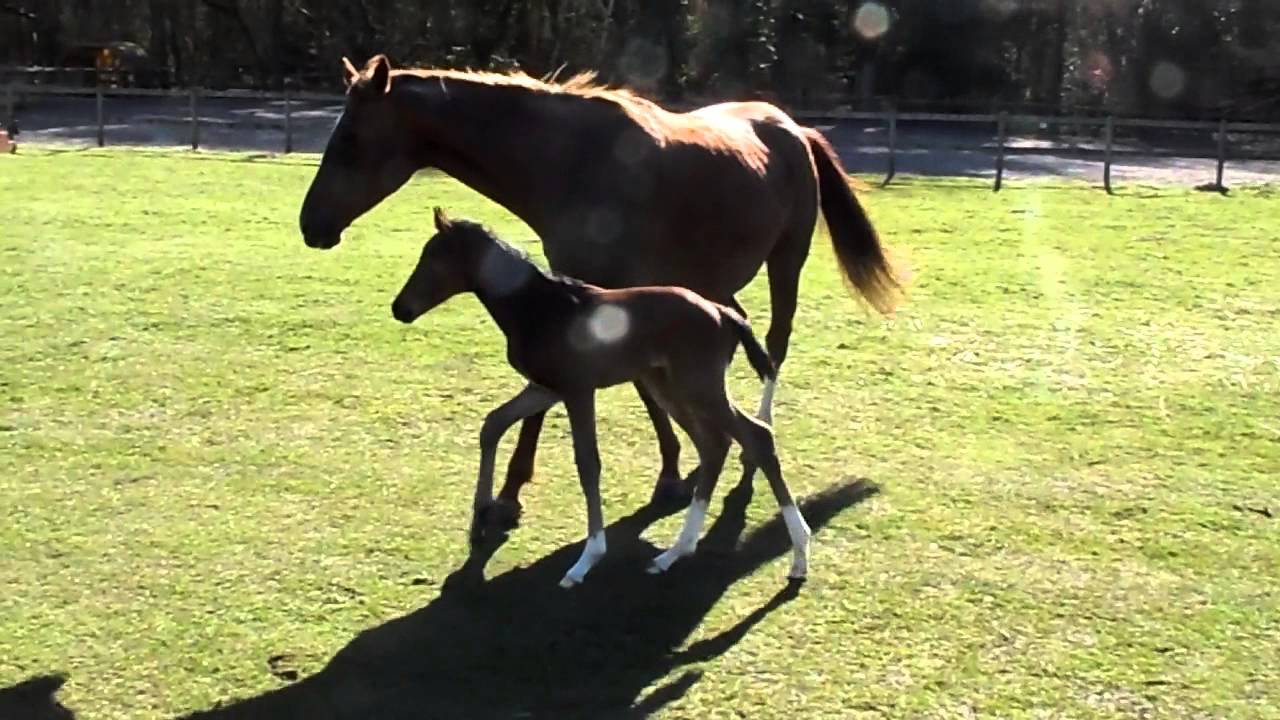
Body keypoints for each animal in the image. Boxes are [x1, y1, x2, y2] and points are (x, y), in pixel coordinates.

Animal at [300, 54, 904, 522]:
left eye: (350, 138)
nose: (310, 225)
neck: (574, 160)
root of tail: (794, 129)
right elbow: (620, 384)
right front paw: (669, 465)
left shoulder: (609, 293)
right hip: (709, 285)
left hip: (785, 263)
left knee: (774, 350)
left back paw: (751, 454)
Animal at [390, 208, 813, 588]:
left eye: (434, 258)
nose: (400, 308)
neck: (541, 308)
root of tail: (724, 312)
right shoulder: (545, 388)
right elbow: (493, 423)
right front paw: (480, 516)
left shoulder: (578, 390)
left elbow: (587, 464)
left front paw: (586, 560)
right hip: (670, 387)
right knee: (716, 444)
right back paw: (674, 553)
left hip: (698, 387)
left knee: (755, 435)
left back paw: (799, 553)